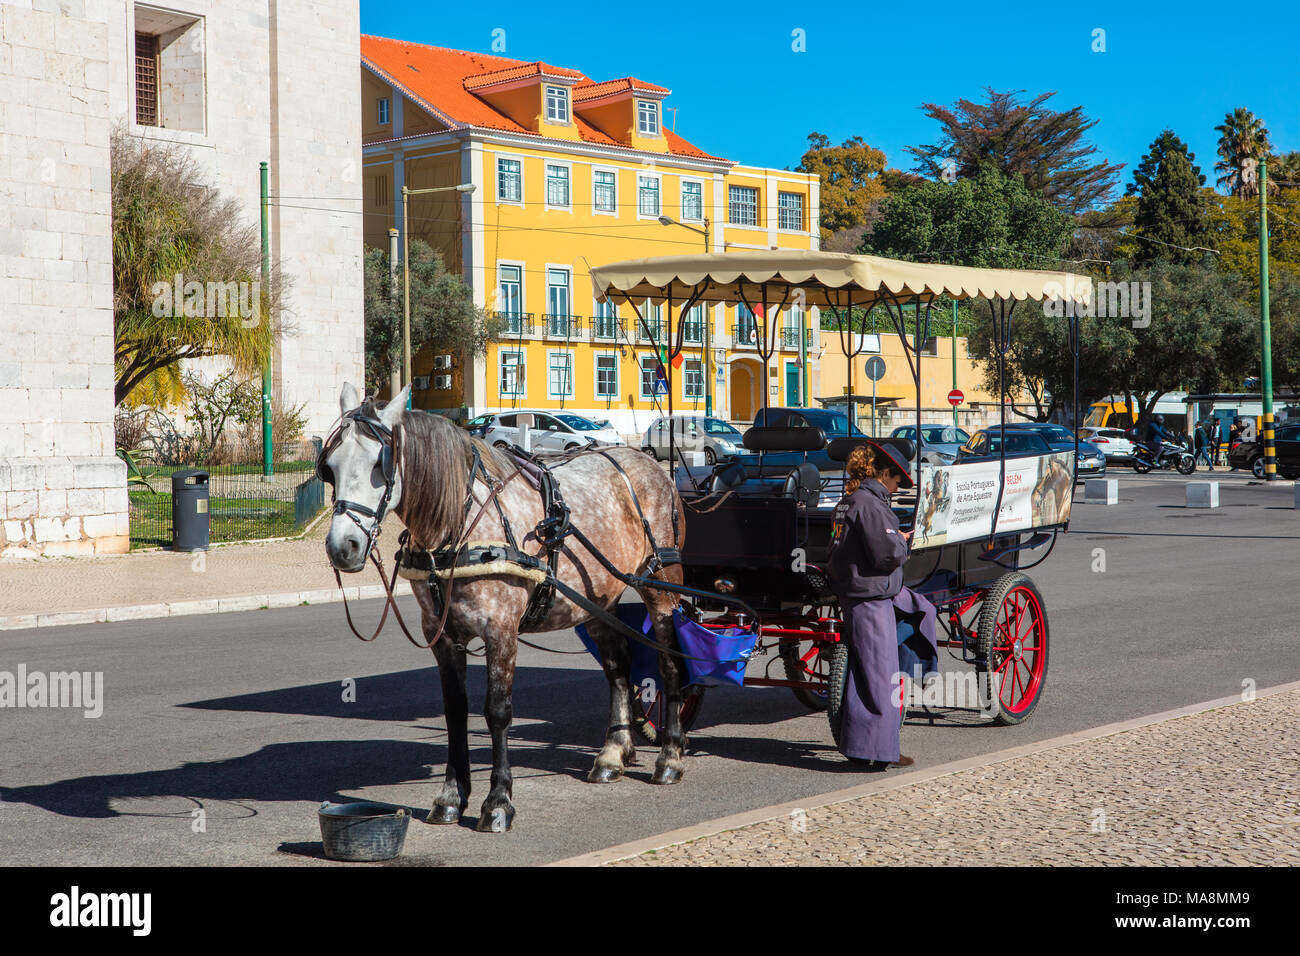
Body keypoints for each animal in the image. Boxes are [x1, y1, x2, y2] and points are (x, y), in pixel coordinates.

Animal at [318, 383, 688, 832]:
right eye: (330, 467)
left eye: (379, 464)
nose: (343, 547)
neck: (458, 526)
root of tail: (651, 463)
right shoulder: (441, 634)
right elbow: (455, 711)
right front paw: (450, 797)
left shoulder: (501, 630)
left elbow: (497, 711)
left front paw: (497, 801)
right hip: (599, 598)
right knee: (618, 666)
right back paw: (613, 753)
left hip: (661, 583)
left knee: (670, 661)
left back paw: (670, 756)